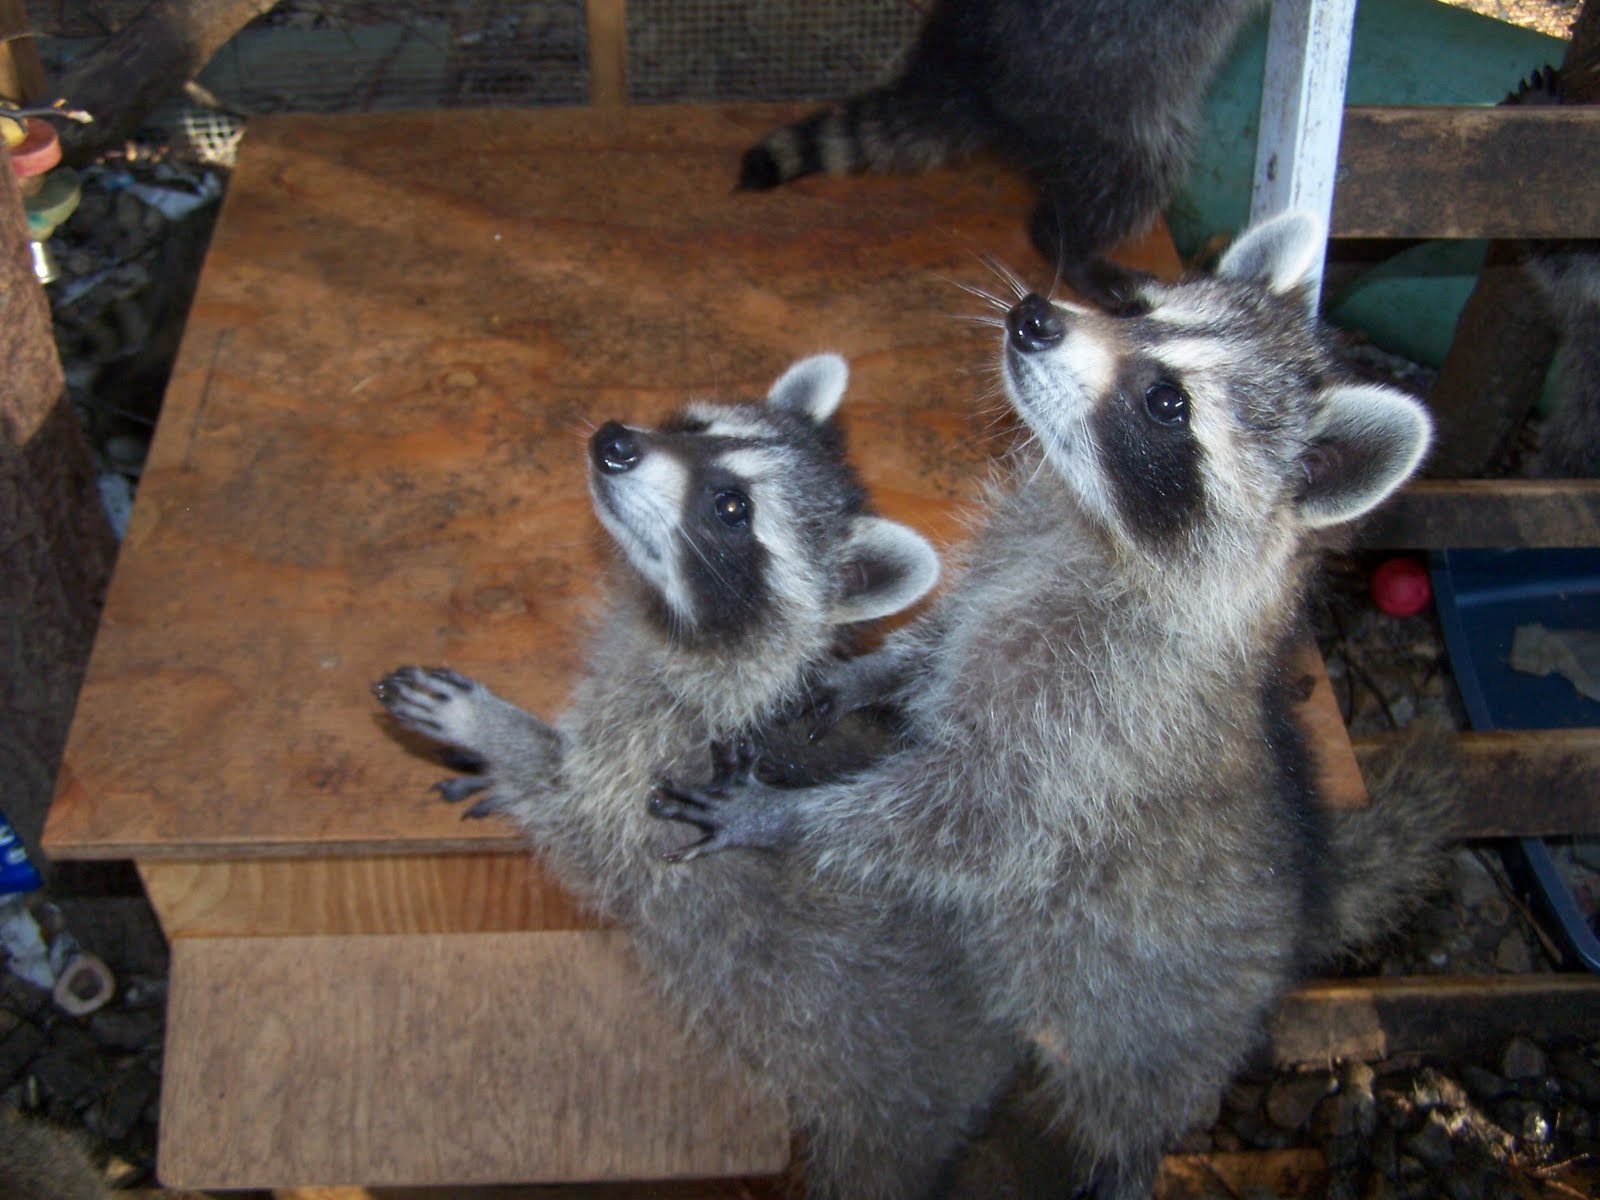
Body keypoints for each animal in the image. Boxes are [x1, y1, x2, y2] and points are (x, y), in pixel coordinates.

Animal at [374, 355, 1021, 1199]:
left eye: (731, 506)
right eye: (695, 427)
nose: (615, 441)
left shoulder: (660, 774)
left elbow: (584, 823)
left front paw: (500, 735)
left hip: (886, 1106)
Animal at [652, 213, 1453, 1198]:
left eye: (1167, 404)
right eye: (1136, 305)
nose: (1036, 315)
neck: (1085, 526)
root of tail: (1306, 908)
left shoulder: (1102, 715)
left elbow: (973, 822)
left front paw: (787, 817)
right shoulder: (1008, 560)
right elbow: (941, 639)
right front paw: (863, 673)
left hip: (1159, 1022)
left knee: (1127, 1100)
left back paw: (1125, 1158)